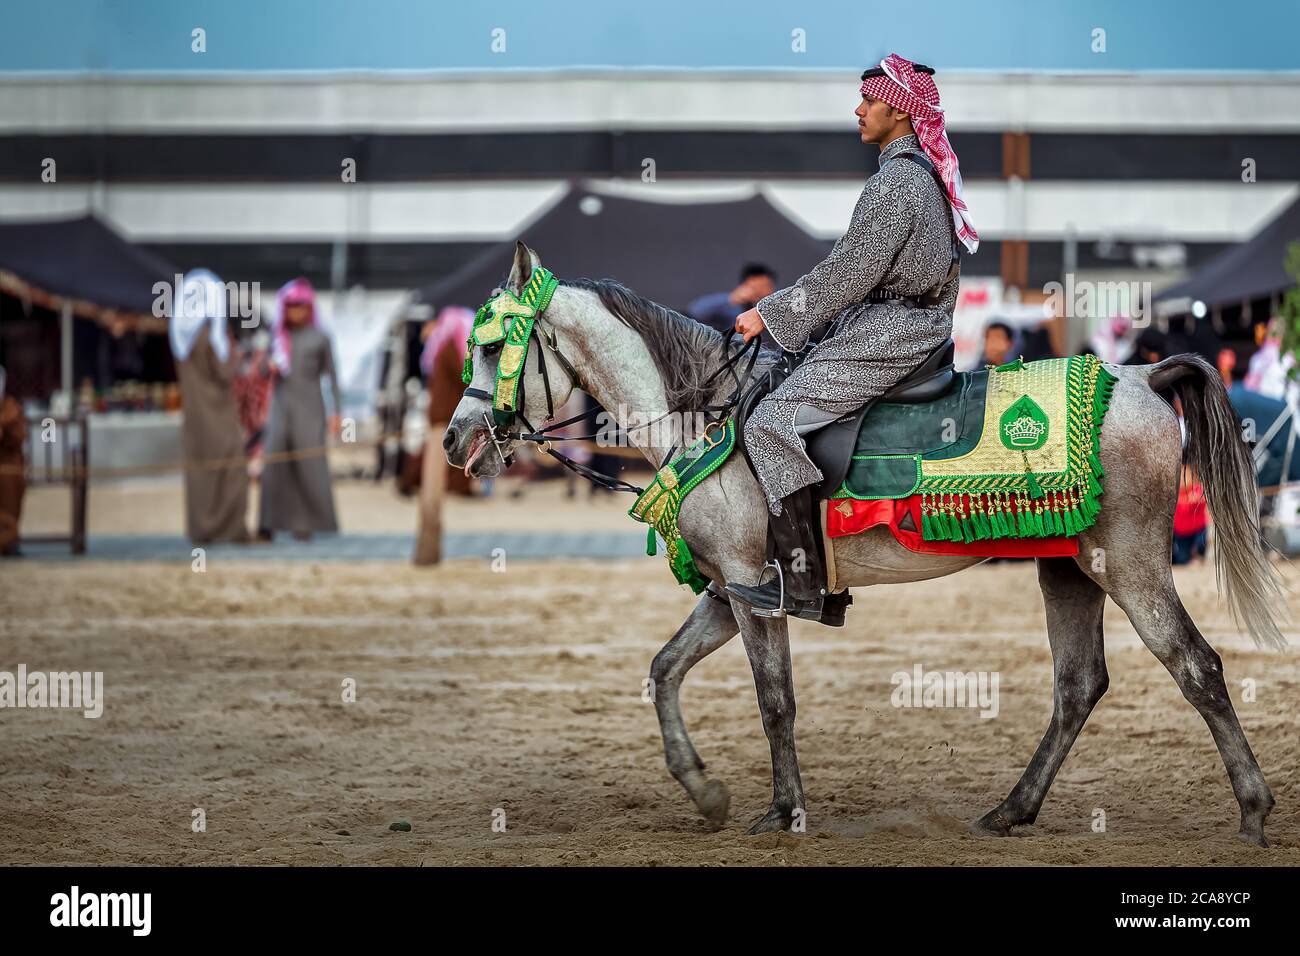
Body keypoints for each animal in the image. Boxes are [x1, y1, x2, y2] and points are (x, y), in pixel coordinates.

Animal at [444, 241, 1286, 845]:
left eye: (495, 345)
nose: (457, 440)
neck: (712, 421)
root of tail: (1142, 378)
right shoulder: (730, 590)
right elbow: (664, 671)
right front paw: (704, 788)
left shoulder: (756, 589)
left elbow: (774, 701)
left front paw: (783, 811)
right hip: (1070, 569)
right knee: (1079, 686)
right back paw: (1012, 810)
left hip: (1133, 566)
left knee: (1198, 668)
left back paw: (1252, 810)